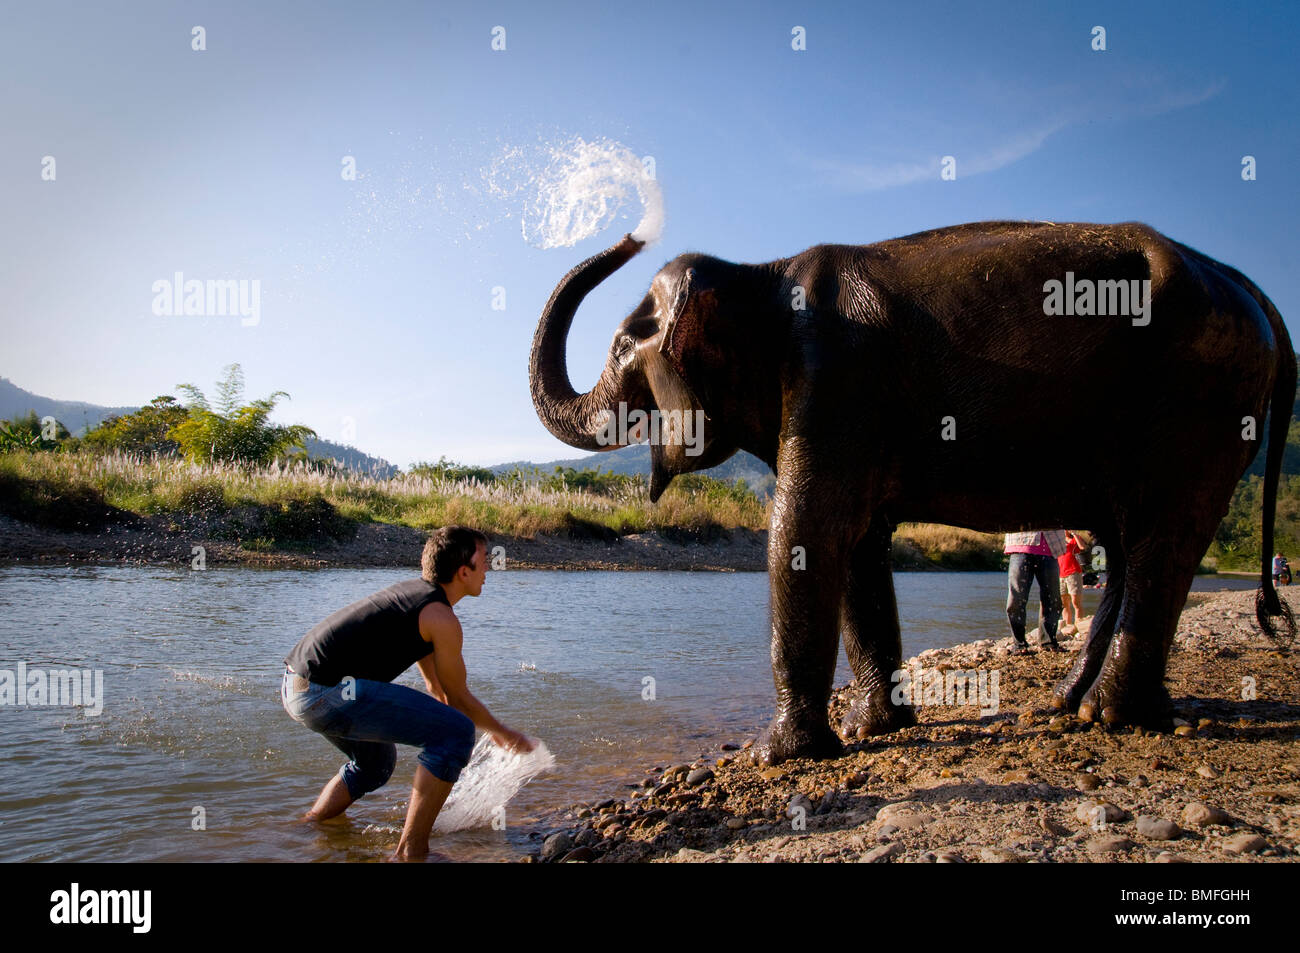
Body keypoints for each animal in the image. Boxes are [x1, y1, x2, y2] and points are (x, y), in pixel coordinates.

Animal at [528, 220, 1296, 765]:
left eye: (624, 343)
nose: (630, 235)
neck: (762, 272)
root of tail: (1248, 286)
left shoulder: (834, 380)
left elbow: (804, 535)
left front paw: (776, 756)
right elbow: (859, 549)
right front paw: (874, 728)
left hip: (1200, 398)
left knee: (1162, 540)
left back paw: (1110, 716)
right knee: (1129, 546)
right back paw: (1065, 705)